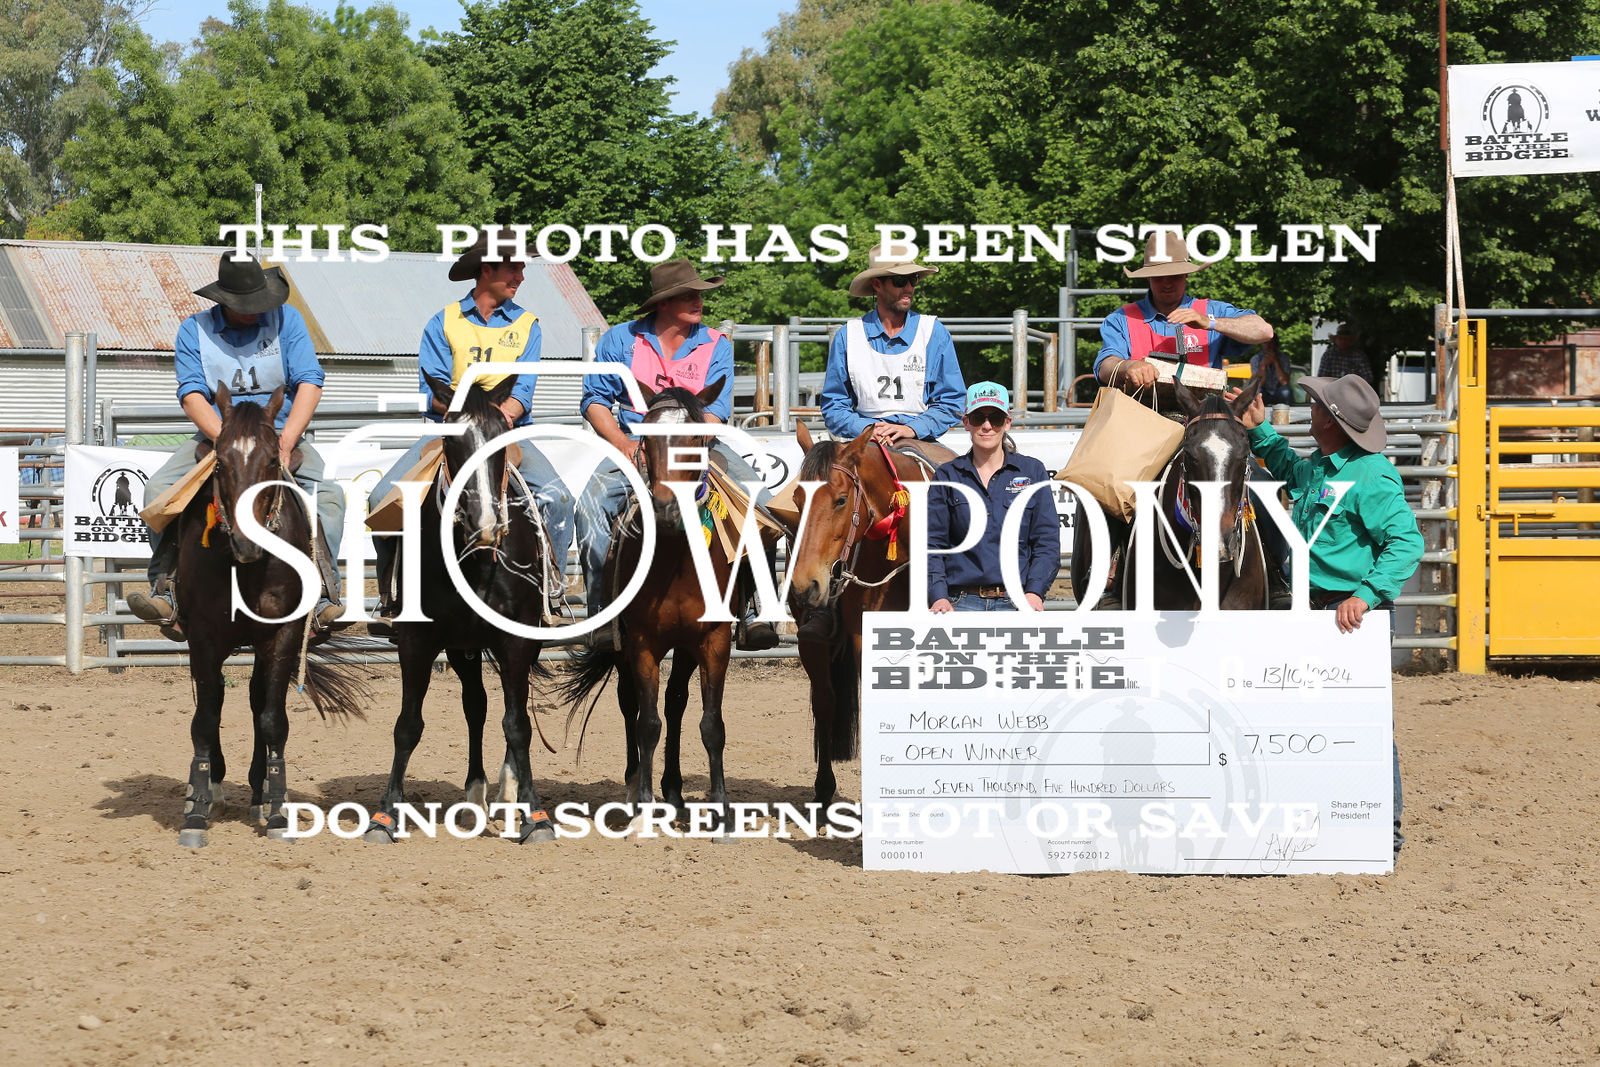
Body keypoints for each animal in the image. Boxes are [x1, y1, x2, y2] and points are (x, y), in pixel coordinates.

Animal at [172, 384, 365, 848]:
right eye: (220, 463)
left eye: (272, 463)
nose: (247, 542)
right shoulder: (202, 637)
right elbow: (205, 718)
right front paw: (196, 812)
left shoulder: (283, 635)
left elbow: (273, 719)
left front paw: (277, 811)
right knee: (218, 701)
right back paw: (212, 790)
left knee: (259, 699)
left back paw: (260, 794)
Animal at [363, 374, 560, 844]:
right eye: (452, 442)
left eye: (502, 436)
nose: (485, 523)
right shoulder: (417, 641)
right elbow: (407, 726)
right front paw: (385, 814)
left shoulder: (516, 640)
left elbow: (518, 726)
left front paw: (536, 816)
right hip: (462, 648)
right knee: (477, 706)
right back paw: (476, 792)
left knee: (511, 708)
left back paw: (509, 788)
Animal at [560, 379, 736, 833]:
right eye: (645, 440)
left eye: (697, 439)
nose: (667, 508)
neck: (677, 558)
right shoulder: (641, 643)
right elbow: (647, 722)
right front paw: (642, 806)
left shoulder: (714, 640)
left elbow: (712, 724)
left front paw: (722, 811)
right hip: (623, 648)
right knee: (631, 705)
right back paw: (635, 784)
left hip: (687, 647)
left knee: (676, 702)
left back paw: (673, 791)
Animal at [785, 425, 946, 808]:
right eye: (798, 498)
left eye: (841, 500)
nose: (804, 584)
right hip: (811, 642)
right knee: (825, 701)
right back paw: (823, 788)